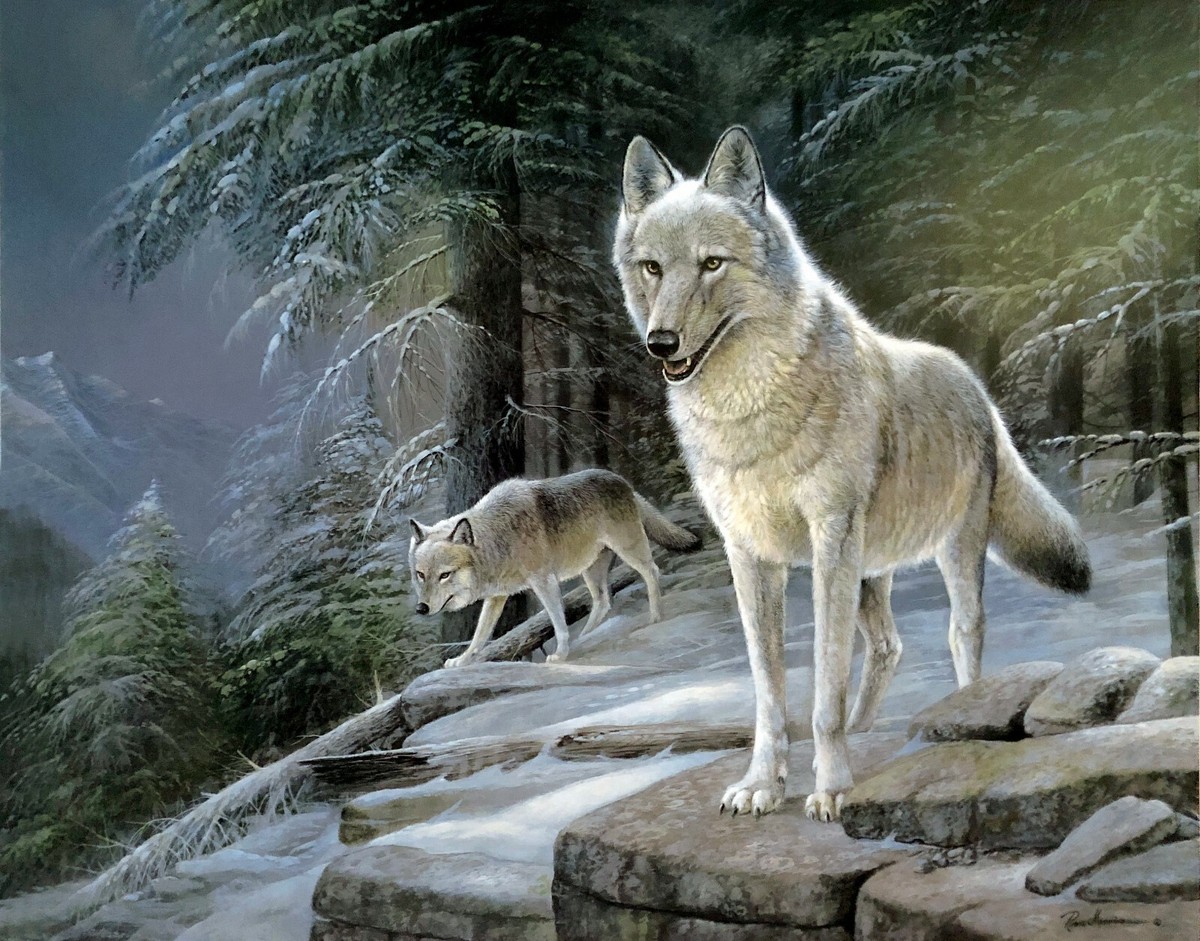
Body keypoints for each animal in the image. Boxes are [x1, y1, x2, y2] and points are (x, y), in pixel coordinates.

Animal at [409, 469, 701, 667]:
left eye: (445, 575)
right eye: (420, 575)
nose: (421, 608)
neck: (500, 538)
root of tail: (622, 480)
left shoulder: (544, 582)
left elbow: (557, 622)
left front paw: (560, 654)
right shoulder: (497, 596)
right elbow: (480, 635)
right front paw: (463, 660)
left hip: (629, 551)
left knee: (652, 571)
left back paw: (655, 617)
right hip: (590, 570)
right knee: (603, 601)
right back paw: (585, 636)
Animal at [613, 126, 1091, 821]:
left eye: (711, 264)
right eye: (653, 268)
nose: (662, 343)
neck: (749, 411)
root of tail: (974, 383)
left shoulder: (830, 538)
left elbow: (823, 690)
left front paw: (833, 787)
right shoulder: (748, 553)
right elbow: (770, 694)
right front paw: (763, 785)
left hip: (951, 550)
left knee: (962, 633)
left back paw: (958, 713)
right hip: (870, 570)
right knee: (890, 646)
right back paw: (868, 727)